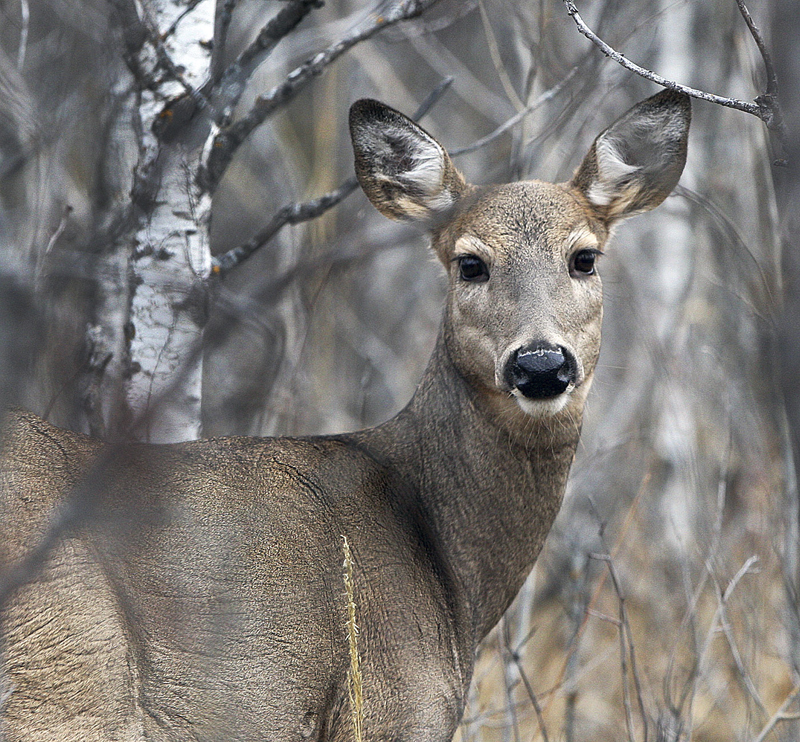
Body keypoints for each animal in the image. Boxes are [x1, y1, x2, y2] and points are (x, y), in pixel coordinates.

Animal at [0, 89, 689, 741]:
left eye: (584, 257)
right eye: (470, 263)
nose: (541, 364)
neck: (446, 561)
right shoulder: (389, 708)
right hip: (67, 675)